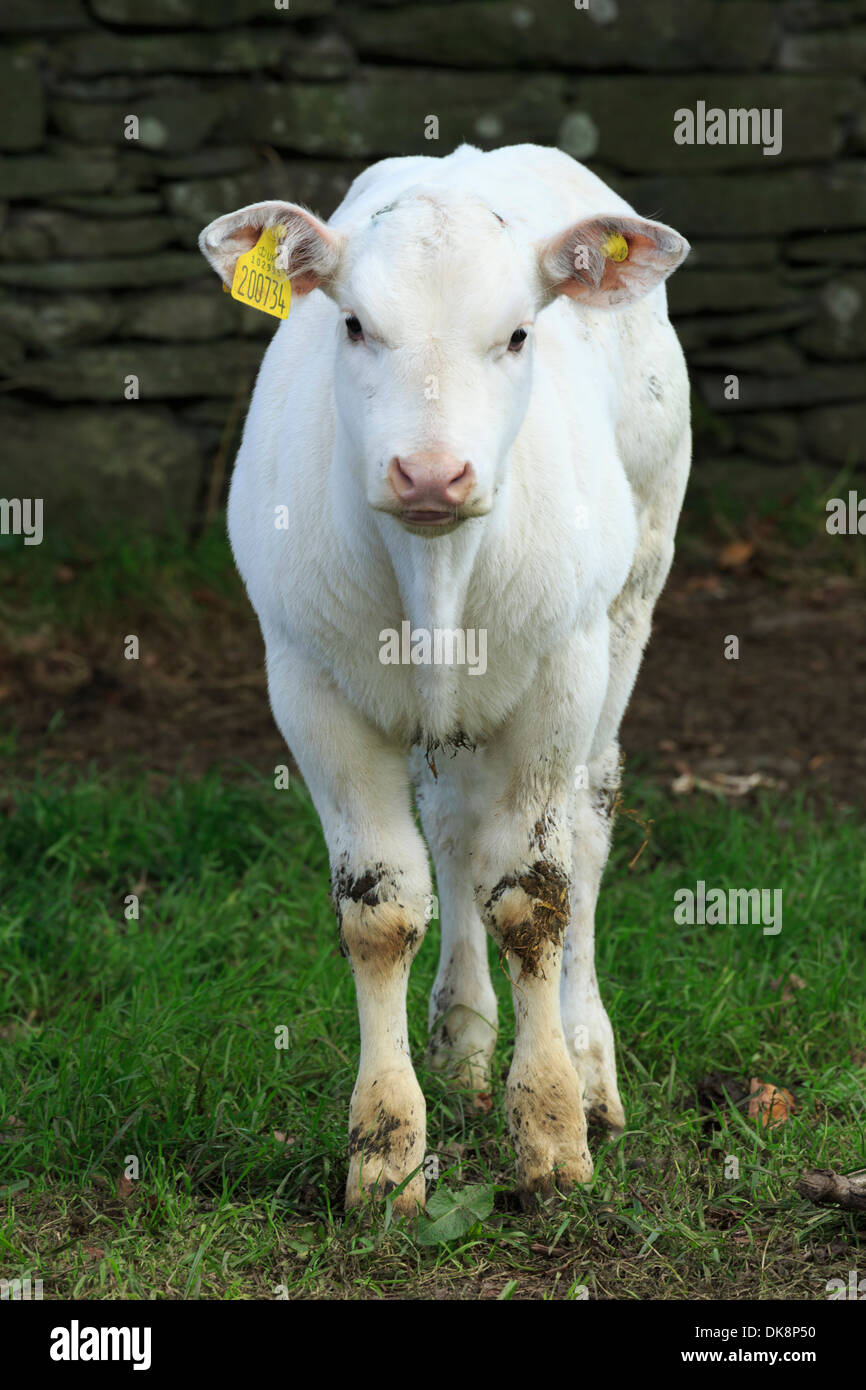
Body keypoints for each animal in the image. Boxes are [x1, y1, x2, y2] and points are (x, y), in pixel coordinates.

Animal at [199, 142, 691, 1213]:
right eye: (351, 323)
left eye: (517, 333)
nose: (431, 475)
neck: (436, 575)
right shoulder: (310, 685)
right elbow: (384, 908)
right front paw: (386, 1152)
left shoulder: (559, 678)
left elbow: (536, 895)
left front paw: (551, 1135)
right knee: (458, 829)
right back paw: (462, 1045)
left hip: (631, 599)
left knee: (586, 828)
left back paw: (590, 1064)